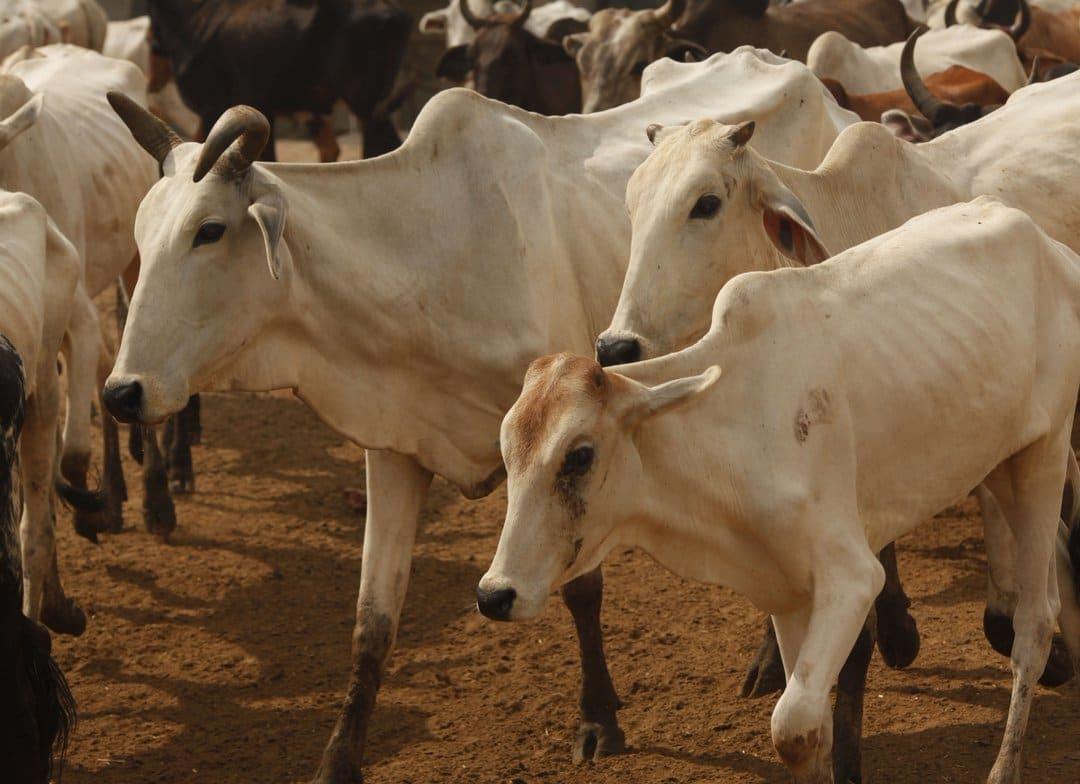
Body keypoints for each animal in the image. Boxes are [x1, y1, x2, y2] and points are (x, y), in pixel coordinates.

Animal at [103, 48, 855, 782]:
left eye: (208, 230)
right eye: (140, 230)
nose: (121, 393)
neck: (429, 259)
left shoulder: (577, 439)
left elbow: (581, 588)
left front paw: (597, 720)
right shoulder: (395, 449)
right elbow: (373, 621)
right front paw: (338, 760)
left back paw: (768, 659)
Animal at [479, 198, 1080, 784]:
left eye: (579, 455)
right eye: (507, 453)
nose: (493, 595)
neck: (729, 427)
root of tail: (1052, 248)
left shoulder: (851, 577)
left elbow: (791, 723)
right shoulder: (787, 594)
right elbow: (811, 736)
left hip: (1044, 454)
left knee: (1033, 622)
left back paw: (1006, 764)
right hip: (999, 461)